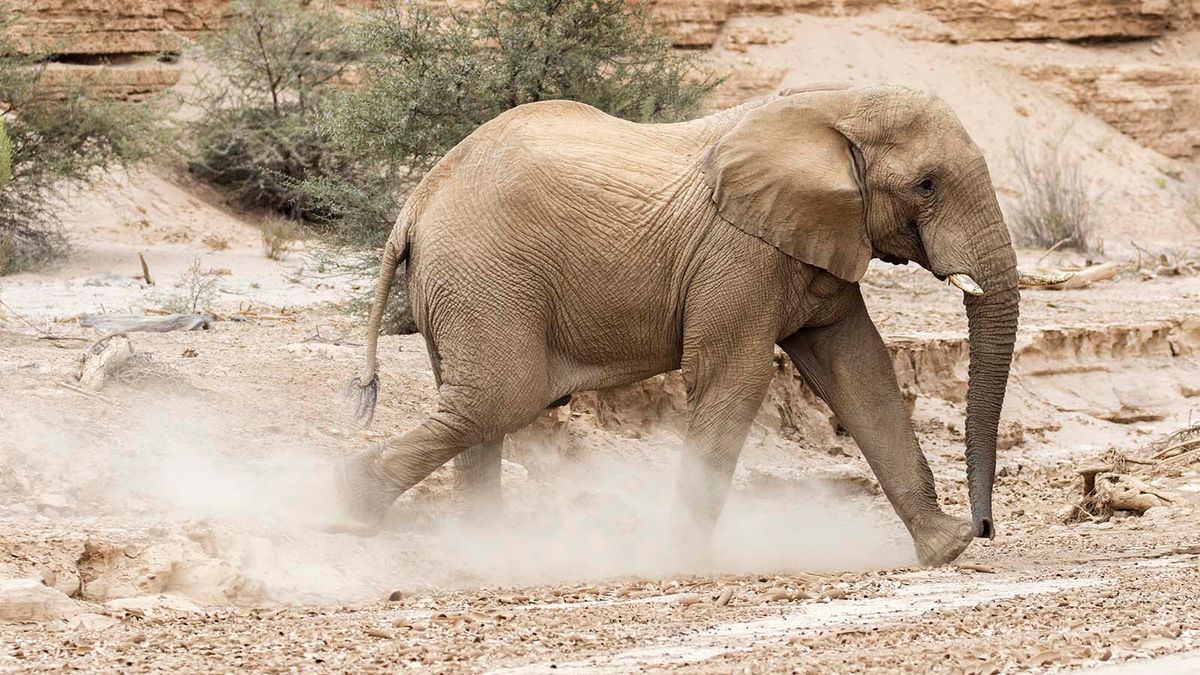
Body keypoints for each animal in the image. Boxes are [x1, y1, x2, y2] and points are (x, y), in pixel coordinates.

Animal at [336, 83, 1021, 567]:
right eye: (926, 185)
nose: (986, 526)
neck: (835, 105)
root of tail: (415, 204)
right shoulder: (738, 250)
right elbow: (736, 378)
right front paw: (681, 562)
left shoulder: (817, 240)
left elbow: (861, 371)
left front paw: (947, 548)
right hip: (484, 276)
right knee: (499, 399)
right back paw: (345, 512)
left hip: (466, 286)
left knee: (478, 410)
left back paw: (487, 552)